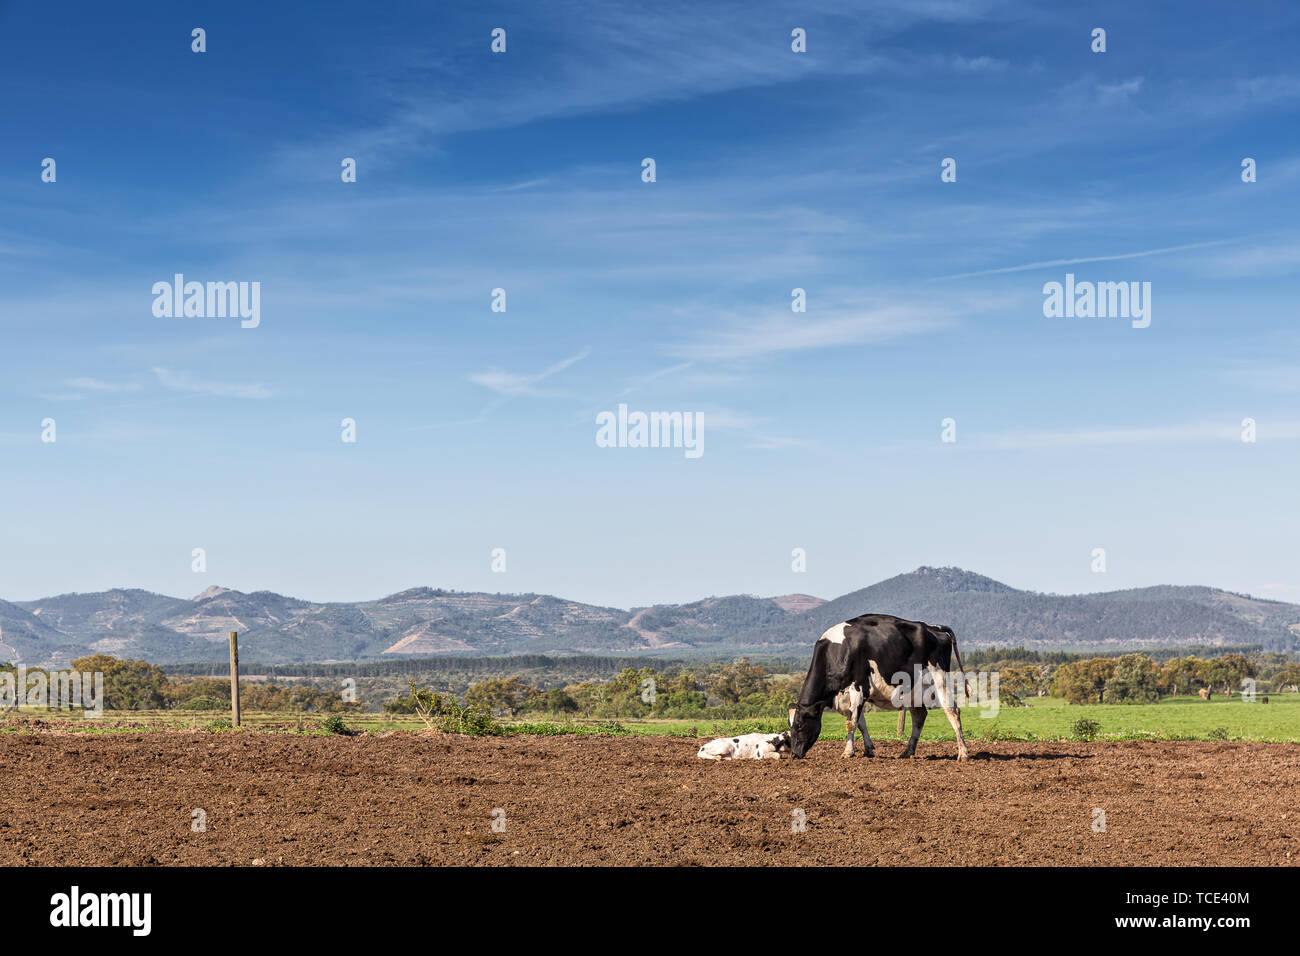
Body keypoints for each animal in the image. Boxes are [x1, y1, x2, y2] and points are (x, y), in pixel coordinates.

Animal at [787, 614, 970, 761]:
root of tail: (934, 628)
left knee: (953, 712)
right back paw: (907, 752)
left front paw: (848, 752)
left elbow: (851, 723)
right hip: (914, 690)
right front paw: (868, 750)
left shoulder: (858, 687)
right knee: (919, 717)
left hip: (940, 680)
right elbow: (860, 723)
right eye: (791, 727)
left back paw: (963, 753)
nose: (794, 754)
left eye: (799, 725)